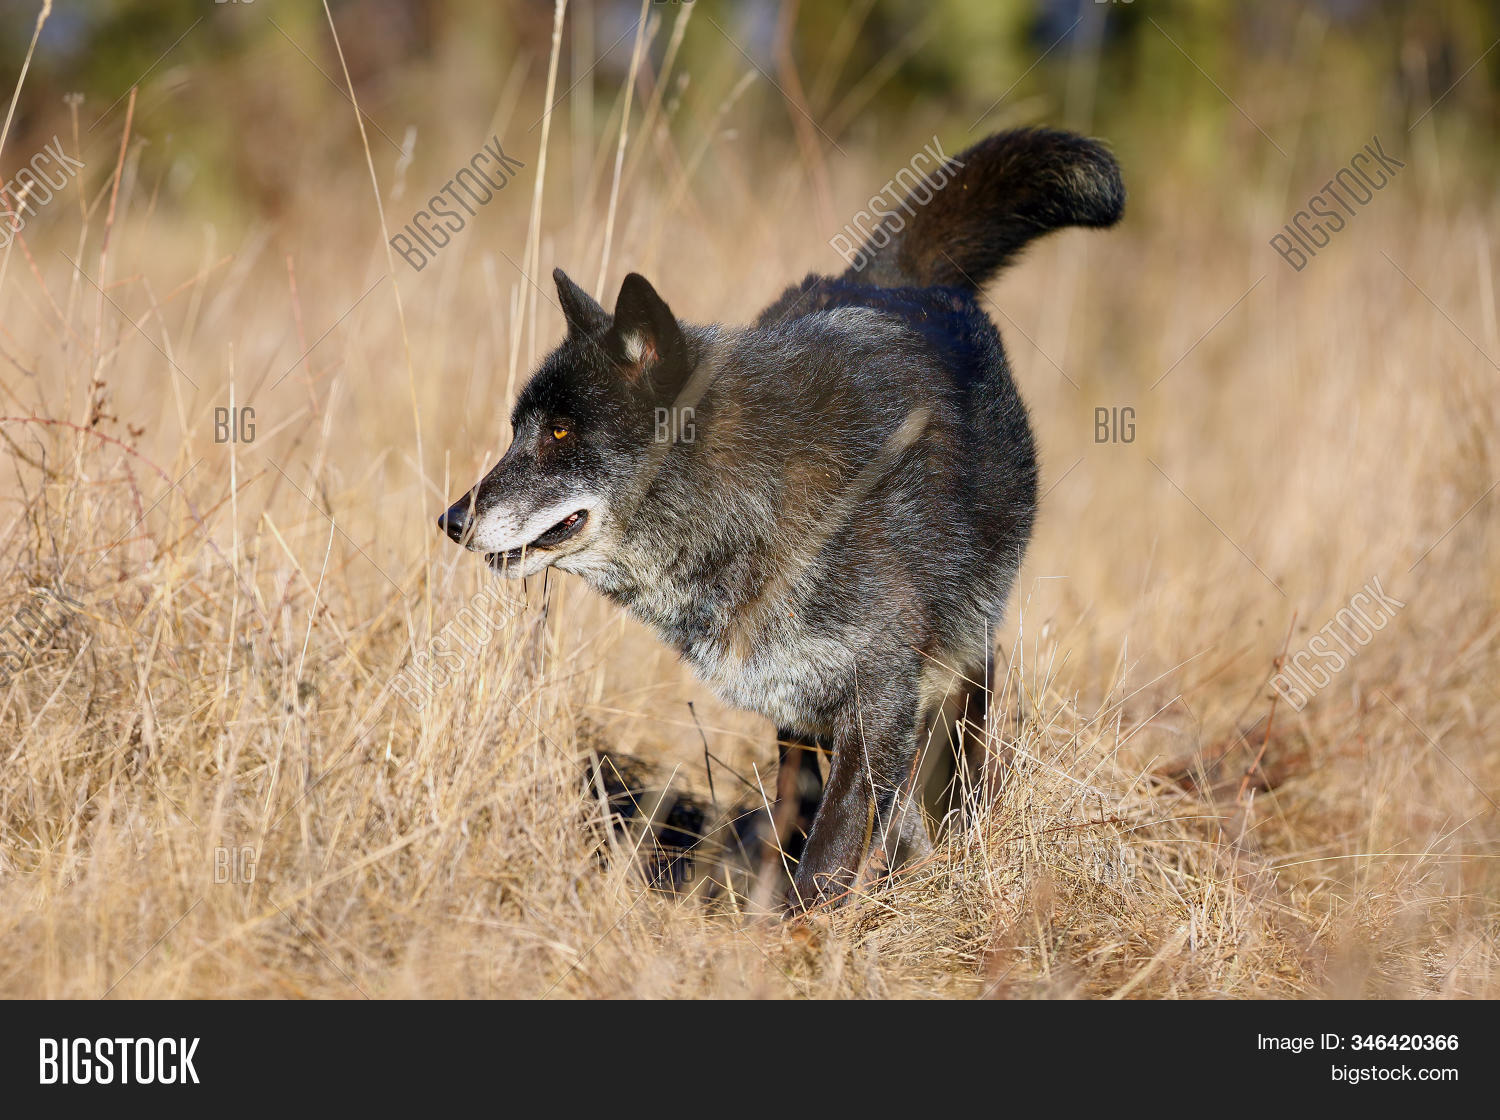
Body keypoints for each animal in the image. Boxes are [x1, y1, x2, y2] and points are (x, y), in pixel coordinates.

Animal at [438, 128, 1124, 910]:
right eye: (517, 430)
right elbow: (815, 812)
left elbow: (835, 847)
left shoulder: (879, 696)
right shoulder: (796, 696)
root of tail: (889, 279)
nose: (452, 519)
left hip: (963, 655)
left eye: (559, 433)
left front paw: (809, 927)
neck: (755, 504)